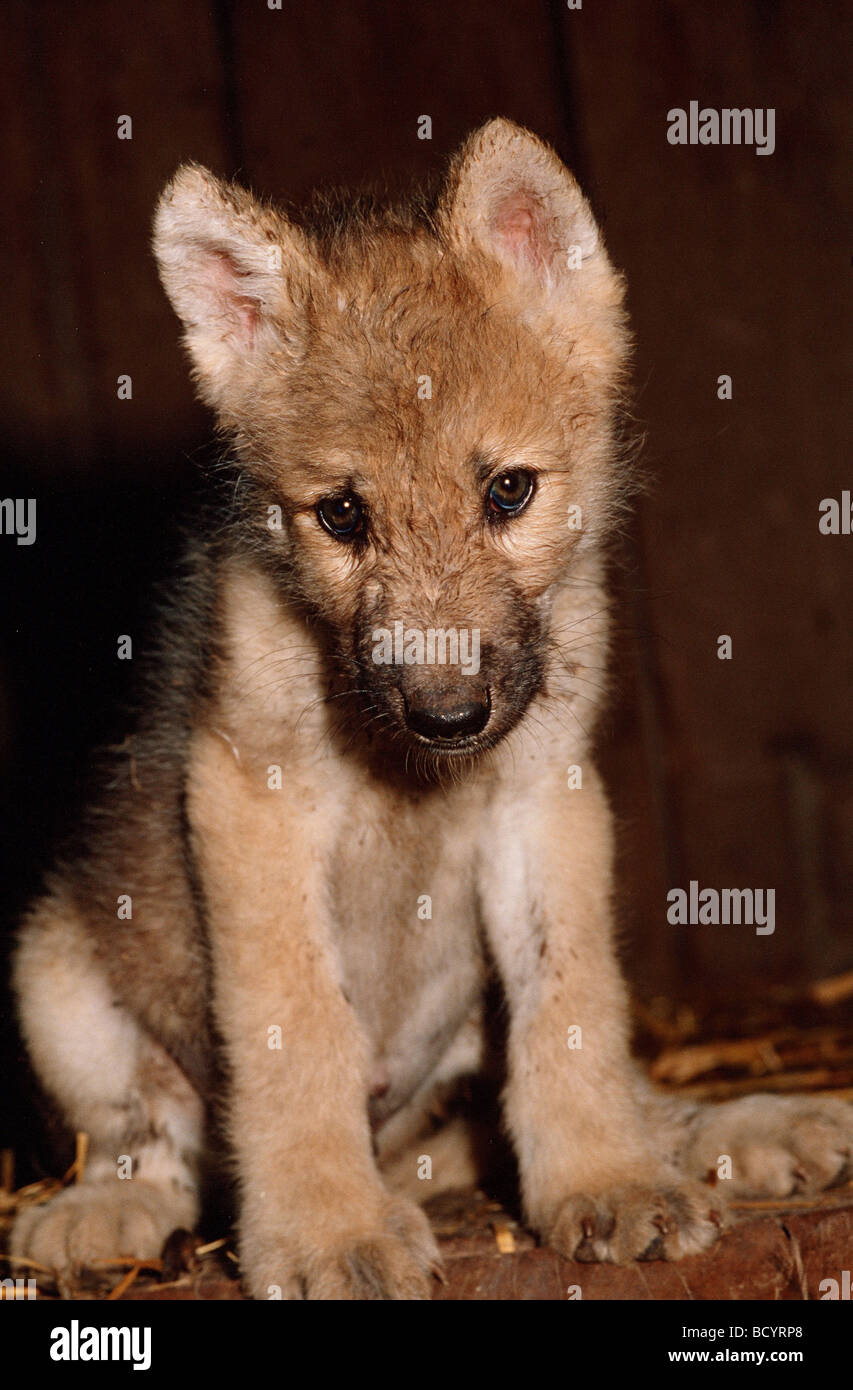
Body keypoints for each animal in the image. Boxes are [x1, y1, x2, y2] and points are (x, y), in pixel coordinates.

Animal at [11, 119, 852, 1298]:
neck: (409, 777)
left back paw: (746, 1129)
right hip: (51, 976)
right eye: (341, 516)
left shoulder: (546, 796)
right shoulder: (249, 800)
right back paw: (103, 1210)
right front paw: (327, 1230)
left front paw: (605, 1181)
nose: (447, 719)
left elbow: (574, 1015)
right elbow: (297, 1034)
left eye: (507, 492)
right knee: (150, 1141)